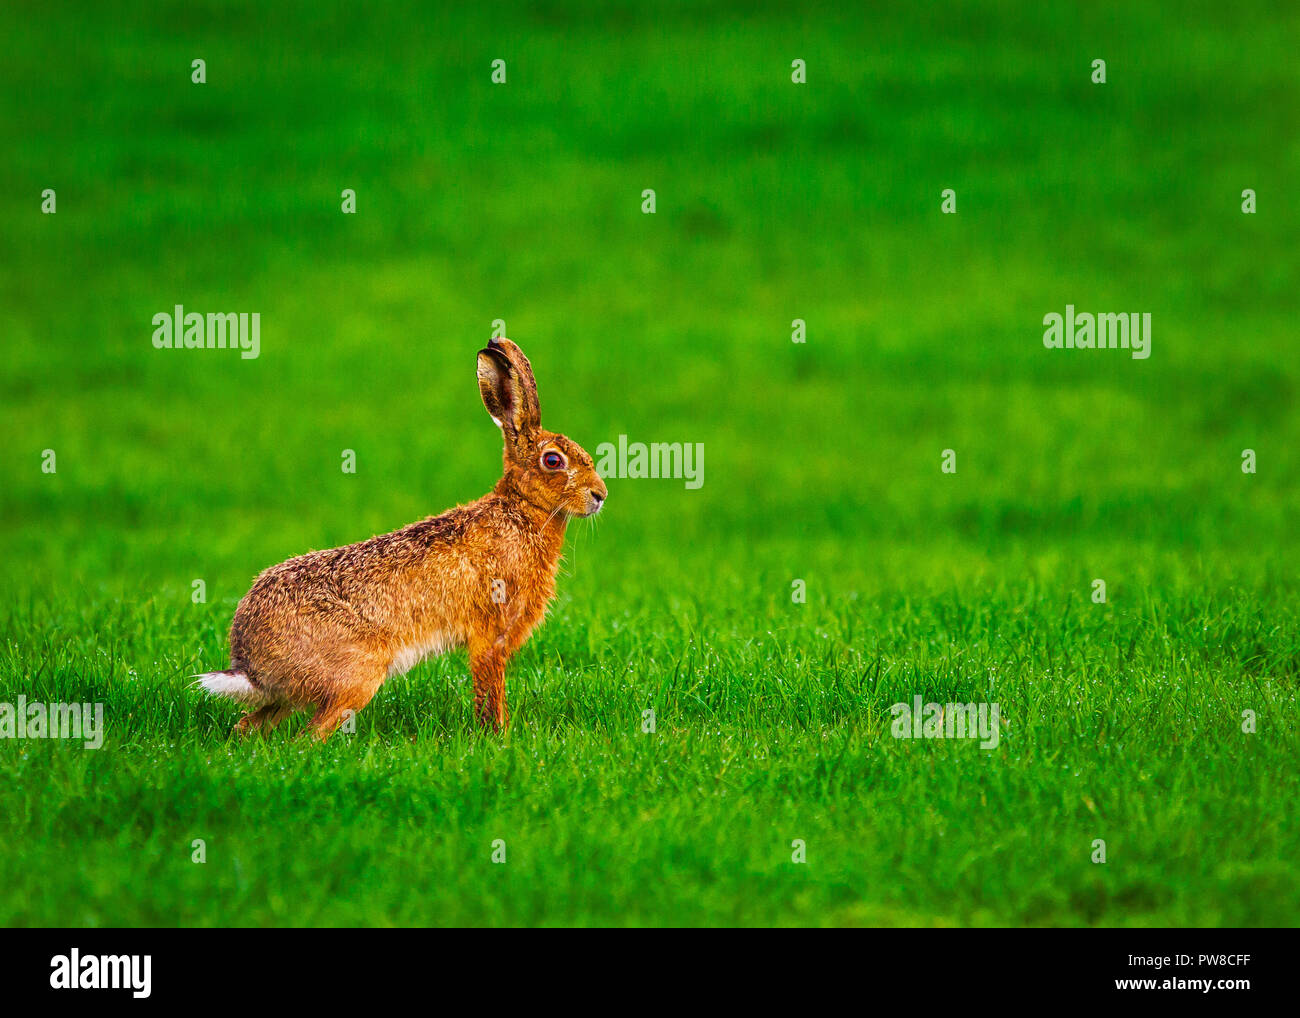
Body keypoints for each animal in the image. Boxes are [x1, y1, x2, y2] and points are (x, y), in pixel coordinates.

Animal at [194, 337, 607, 739]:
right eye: (553, 461)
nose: (600, 495)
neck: (521, 510)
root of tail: (249, 661)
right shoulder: (491, 637)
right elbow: (489, 693)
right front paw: (497, 738)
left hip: (292, 696)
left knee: (249, 726)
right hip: (357, 677)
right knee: (308, 738)